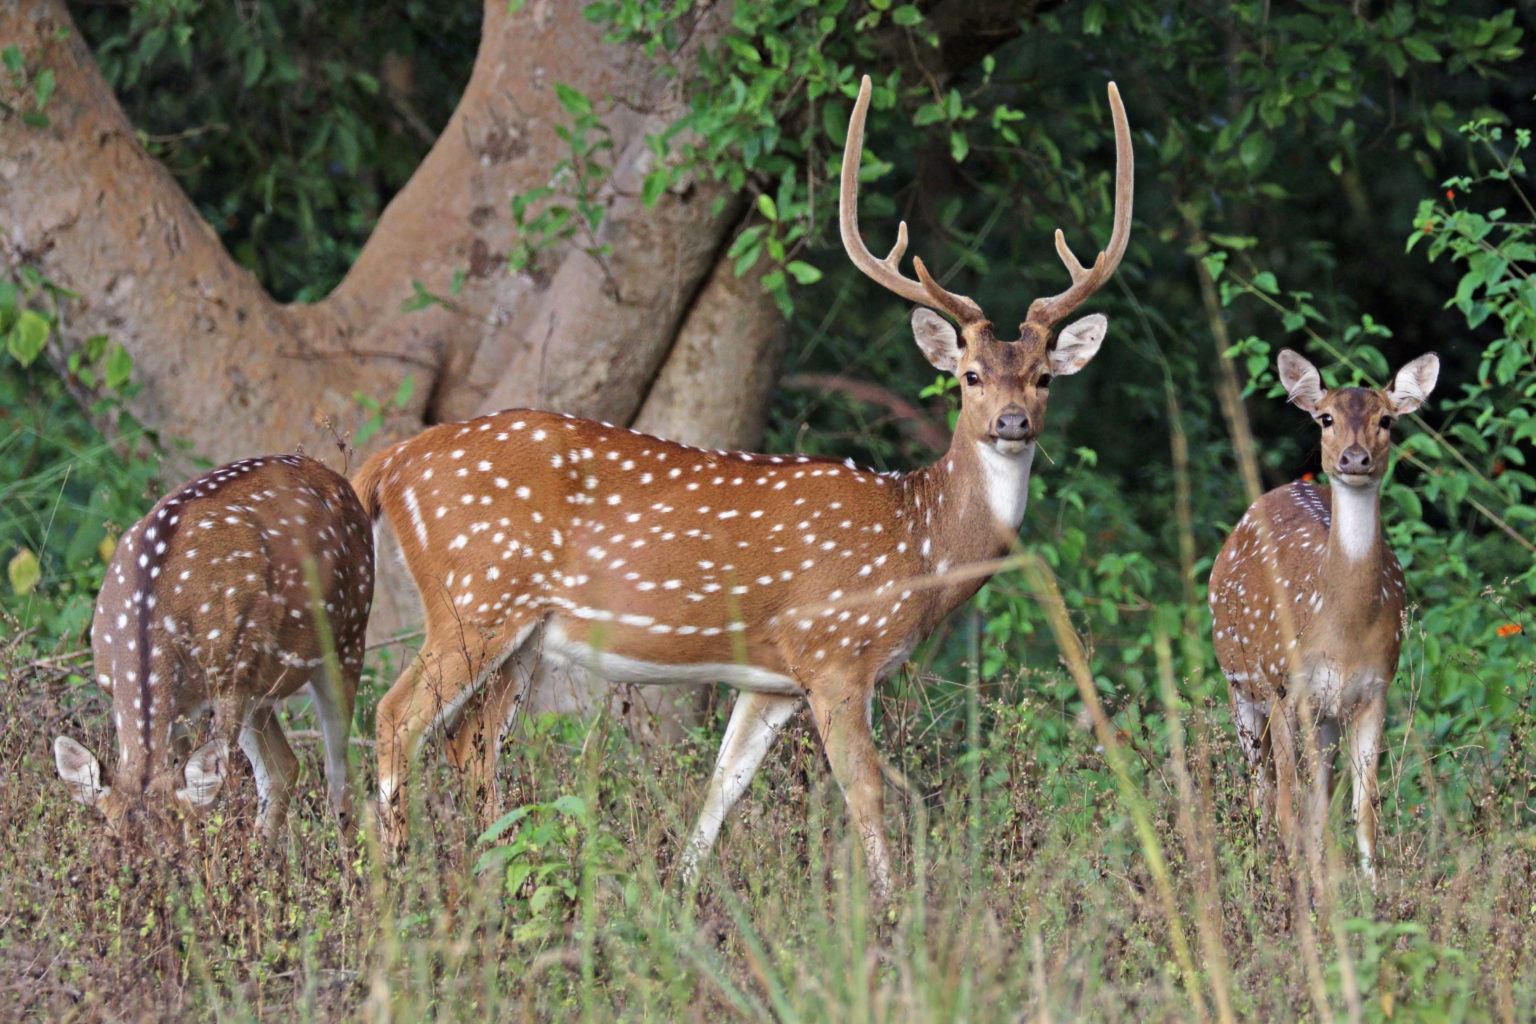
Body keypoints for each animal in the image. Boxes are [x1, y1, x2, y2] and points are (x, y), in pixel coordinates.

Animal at [53, 455, 375, 840]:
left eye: (175, 841)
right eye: (112, 840)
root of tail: (334, 475)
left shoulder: (228, 678)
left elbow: (210, 794)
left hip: (348, 635)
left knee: (339, 774)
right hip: (256, 684)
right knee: (283, 768)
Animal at [350, 73, 1132, 895]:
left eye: (1045, 376)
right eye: (970, 376)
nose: (1014, 422)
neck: (918, 542)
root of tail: (392, 463)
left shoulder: (772, 681)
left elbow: (721, 790)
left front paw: (681, 899)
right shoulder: (835, 652)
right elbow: (867, 794)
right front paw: (893, 912)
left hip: (522, 629)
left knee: (472, 741)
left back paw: (497, 884)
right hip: (474, 595)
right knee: (395, 717)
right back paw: (394, 883)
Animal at [1209, 349, 1439, 888]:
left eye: (1387, 420)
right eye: (1326, 418)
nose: (1354, 458)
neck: (1342, 631)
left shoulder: (1375, 690)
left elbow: (1362, 809)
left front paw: (1370, 895)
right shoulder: (1289, 686)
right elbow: (1292, 802)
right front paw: (1302, 893)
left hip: (1326, 714)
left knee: (1309, 797)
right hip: (1245, 685)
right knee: (1264, 790)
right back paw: (1266, 876)